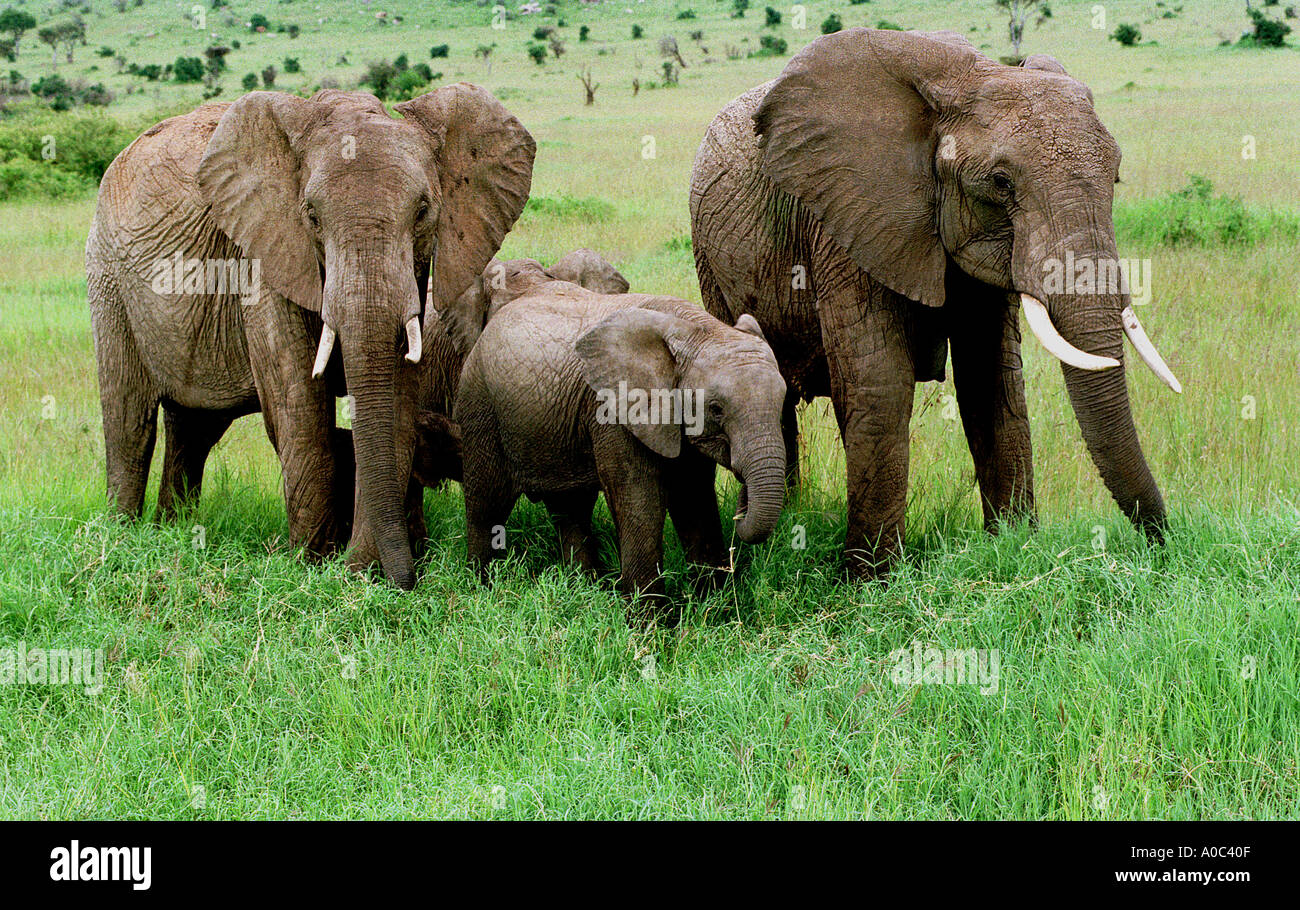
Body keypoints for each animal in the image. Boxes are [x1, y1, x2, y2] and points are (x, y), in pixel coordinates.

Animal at [85, 85, 535, 589]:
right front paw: (312, 564)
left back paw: (174, 528)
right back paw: (124, 534)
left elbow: (394, 404)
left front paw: (361, 571)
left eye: (423, 211)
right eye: (312, 216)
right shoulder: (264, 254)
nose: (409, 580)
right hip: (108, 278)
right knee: (130, 418)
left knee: (193, 428)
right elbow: (299, 407)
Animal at [451, 284, 787, 619]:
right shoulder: (613, 413)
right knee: (487, 503)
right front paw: (648, 624)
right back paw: (481, 586)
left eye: (783, 400)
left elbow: (693, 496)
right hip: (480, 405)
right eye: (716, 408)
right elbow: (640, 499)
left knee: (571, 507)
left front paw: (715, 611)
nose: (741, 505)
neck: (696, 329)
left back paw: (583, 587)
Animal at [688, 28, 1182, 579]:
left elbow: (992, 376)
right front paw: (871, 580)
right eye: (1000, 183)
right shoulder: (848, 223)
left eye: (1115, 176)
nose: (1163, 542)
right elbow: (880, 385)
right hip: (710, 263)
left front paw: (1014, 544)